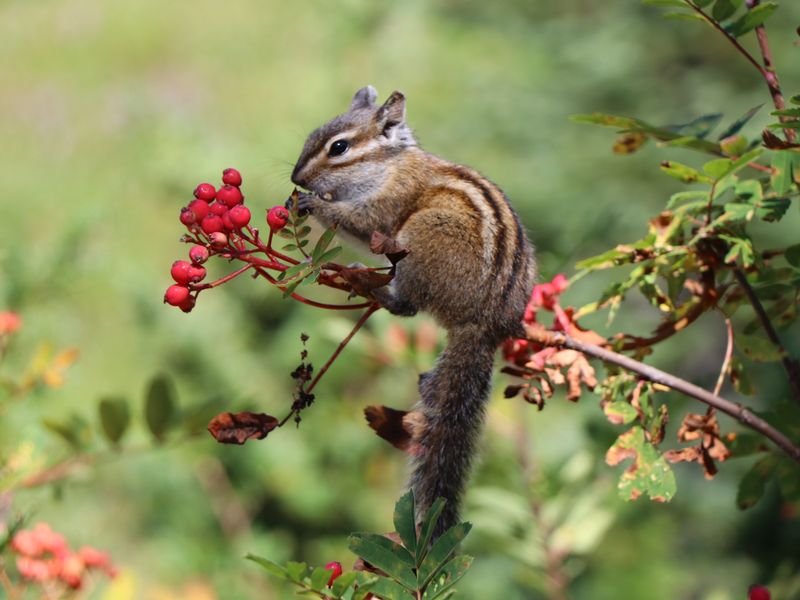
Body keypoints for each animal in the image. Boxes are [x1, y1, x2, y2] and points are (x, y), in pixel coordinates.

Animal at [291, 86, 536, 538]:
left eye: (339, 147)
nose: (296, 179)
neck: (390, 165)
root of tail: (485, 321)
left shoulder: (387, 206)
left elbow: (361, 222)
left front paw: (312, 204)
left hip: (418, 240)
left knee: (406, 307)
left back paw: (370, 285)